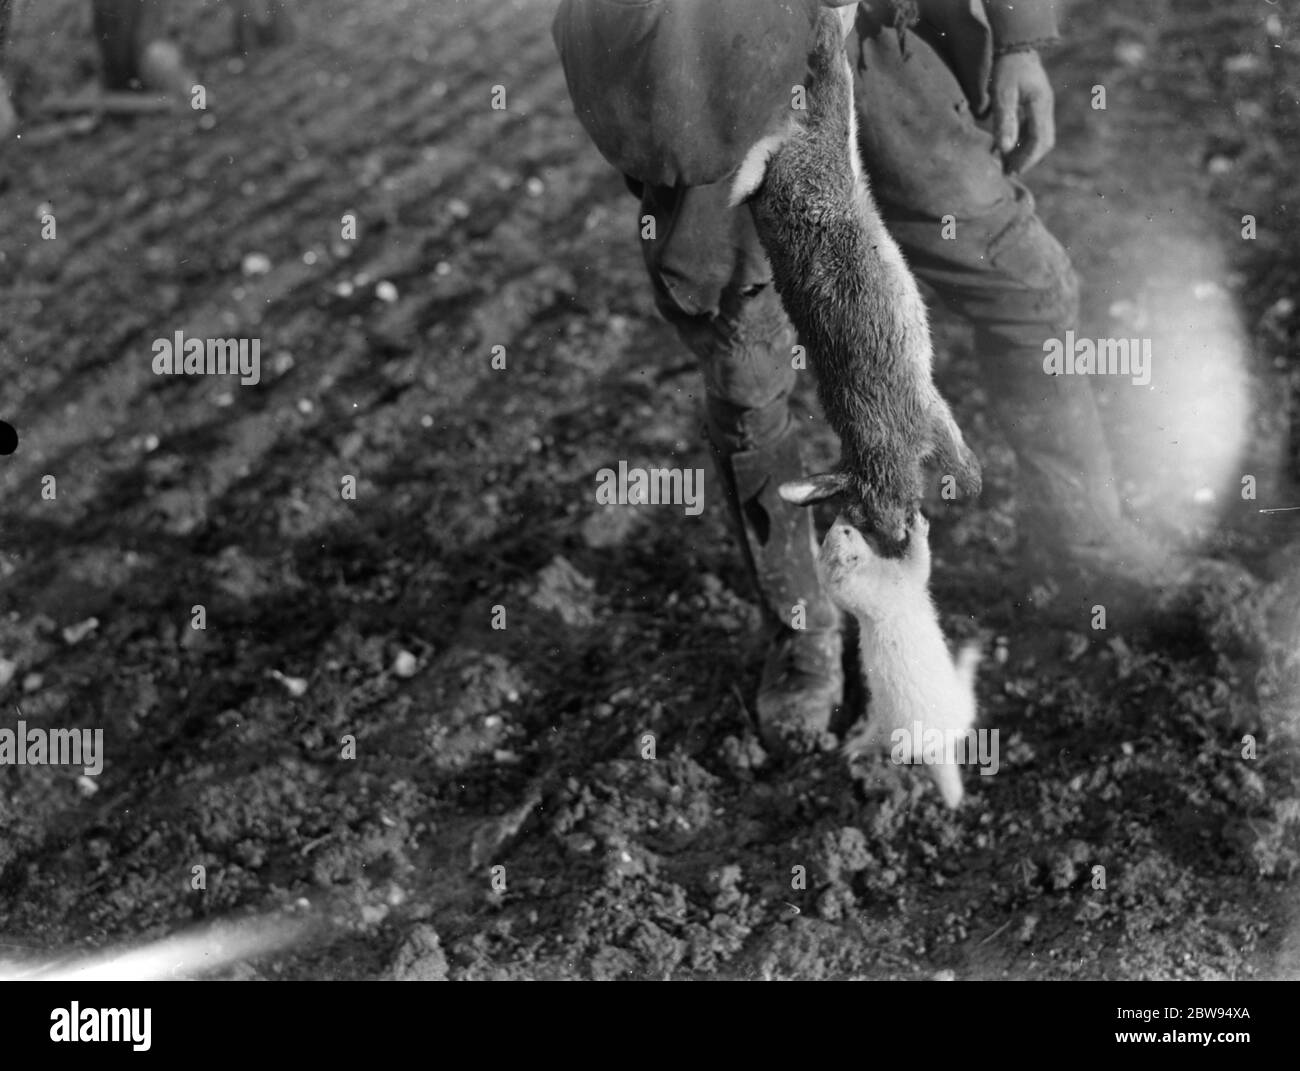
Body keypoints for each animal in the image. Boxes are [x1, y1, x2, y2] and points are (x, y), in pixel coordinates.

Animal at [729, 7, 980, 551]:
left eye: (871, 513)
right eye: (860, 522)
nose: (899, 541)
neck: (873, 445)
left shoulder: (926, 413)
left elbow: (958, 457)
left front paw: (971, 483)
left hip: (832, 125)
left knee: (828, 66)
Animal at [783, 504, 981, 808]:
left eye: (829, 533)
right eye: (846, 531)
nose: (843, 515)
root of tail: (933, 744)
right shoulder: (894, 582)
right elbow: (918, 567)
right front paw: (916, 527)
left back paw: (852, 747)